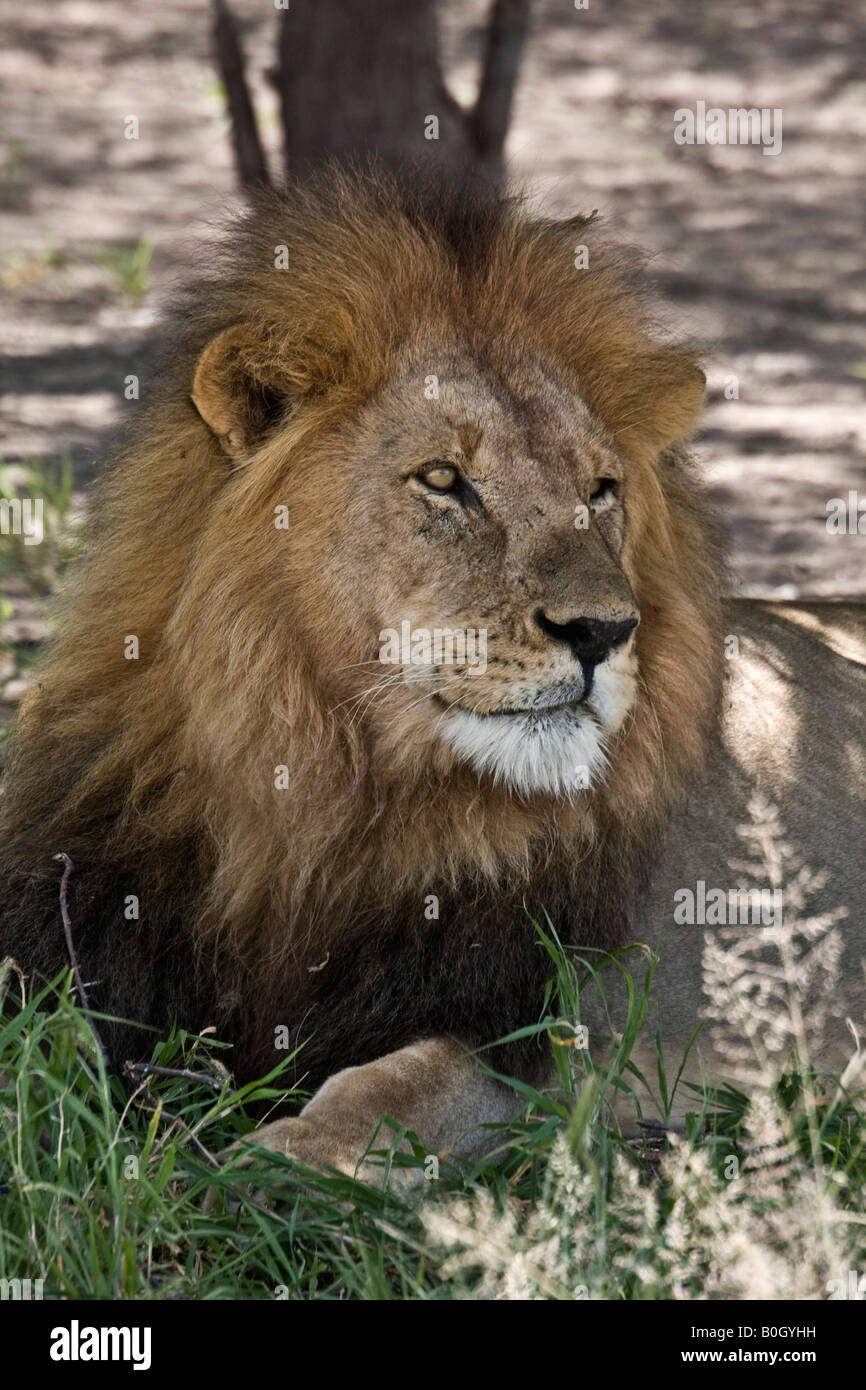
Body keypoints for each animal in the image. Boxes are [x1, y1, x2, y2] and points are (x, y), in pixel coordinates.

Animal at [1, 168, 862, 1181]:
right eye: (446, 480)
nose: (605, 631)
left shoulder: (586, 1034)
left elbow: (404, 1087)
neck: (318, 787)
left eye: (600, 491)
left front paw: (278, 1163)